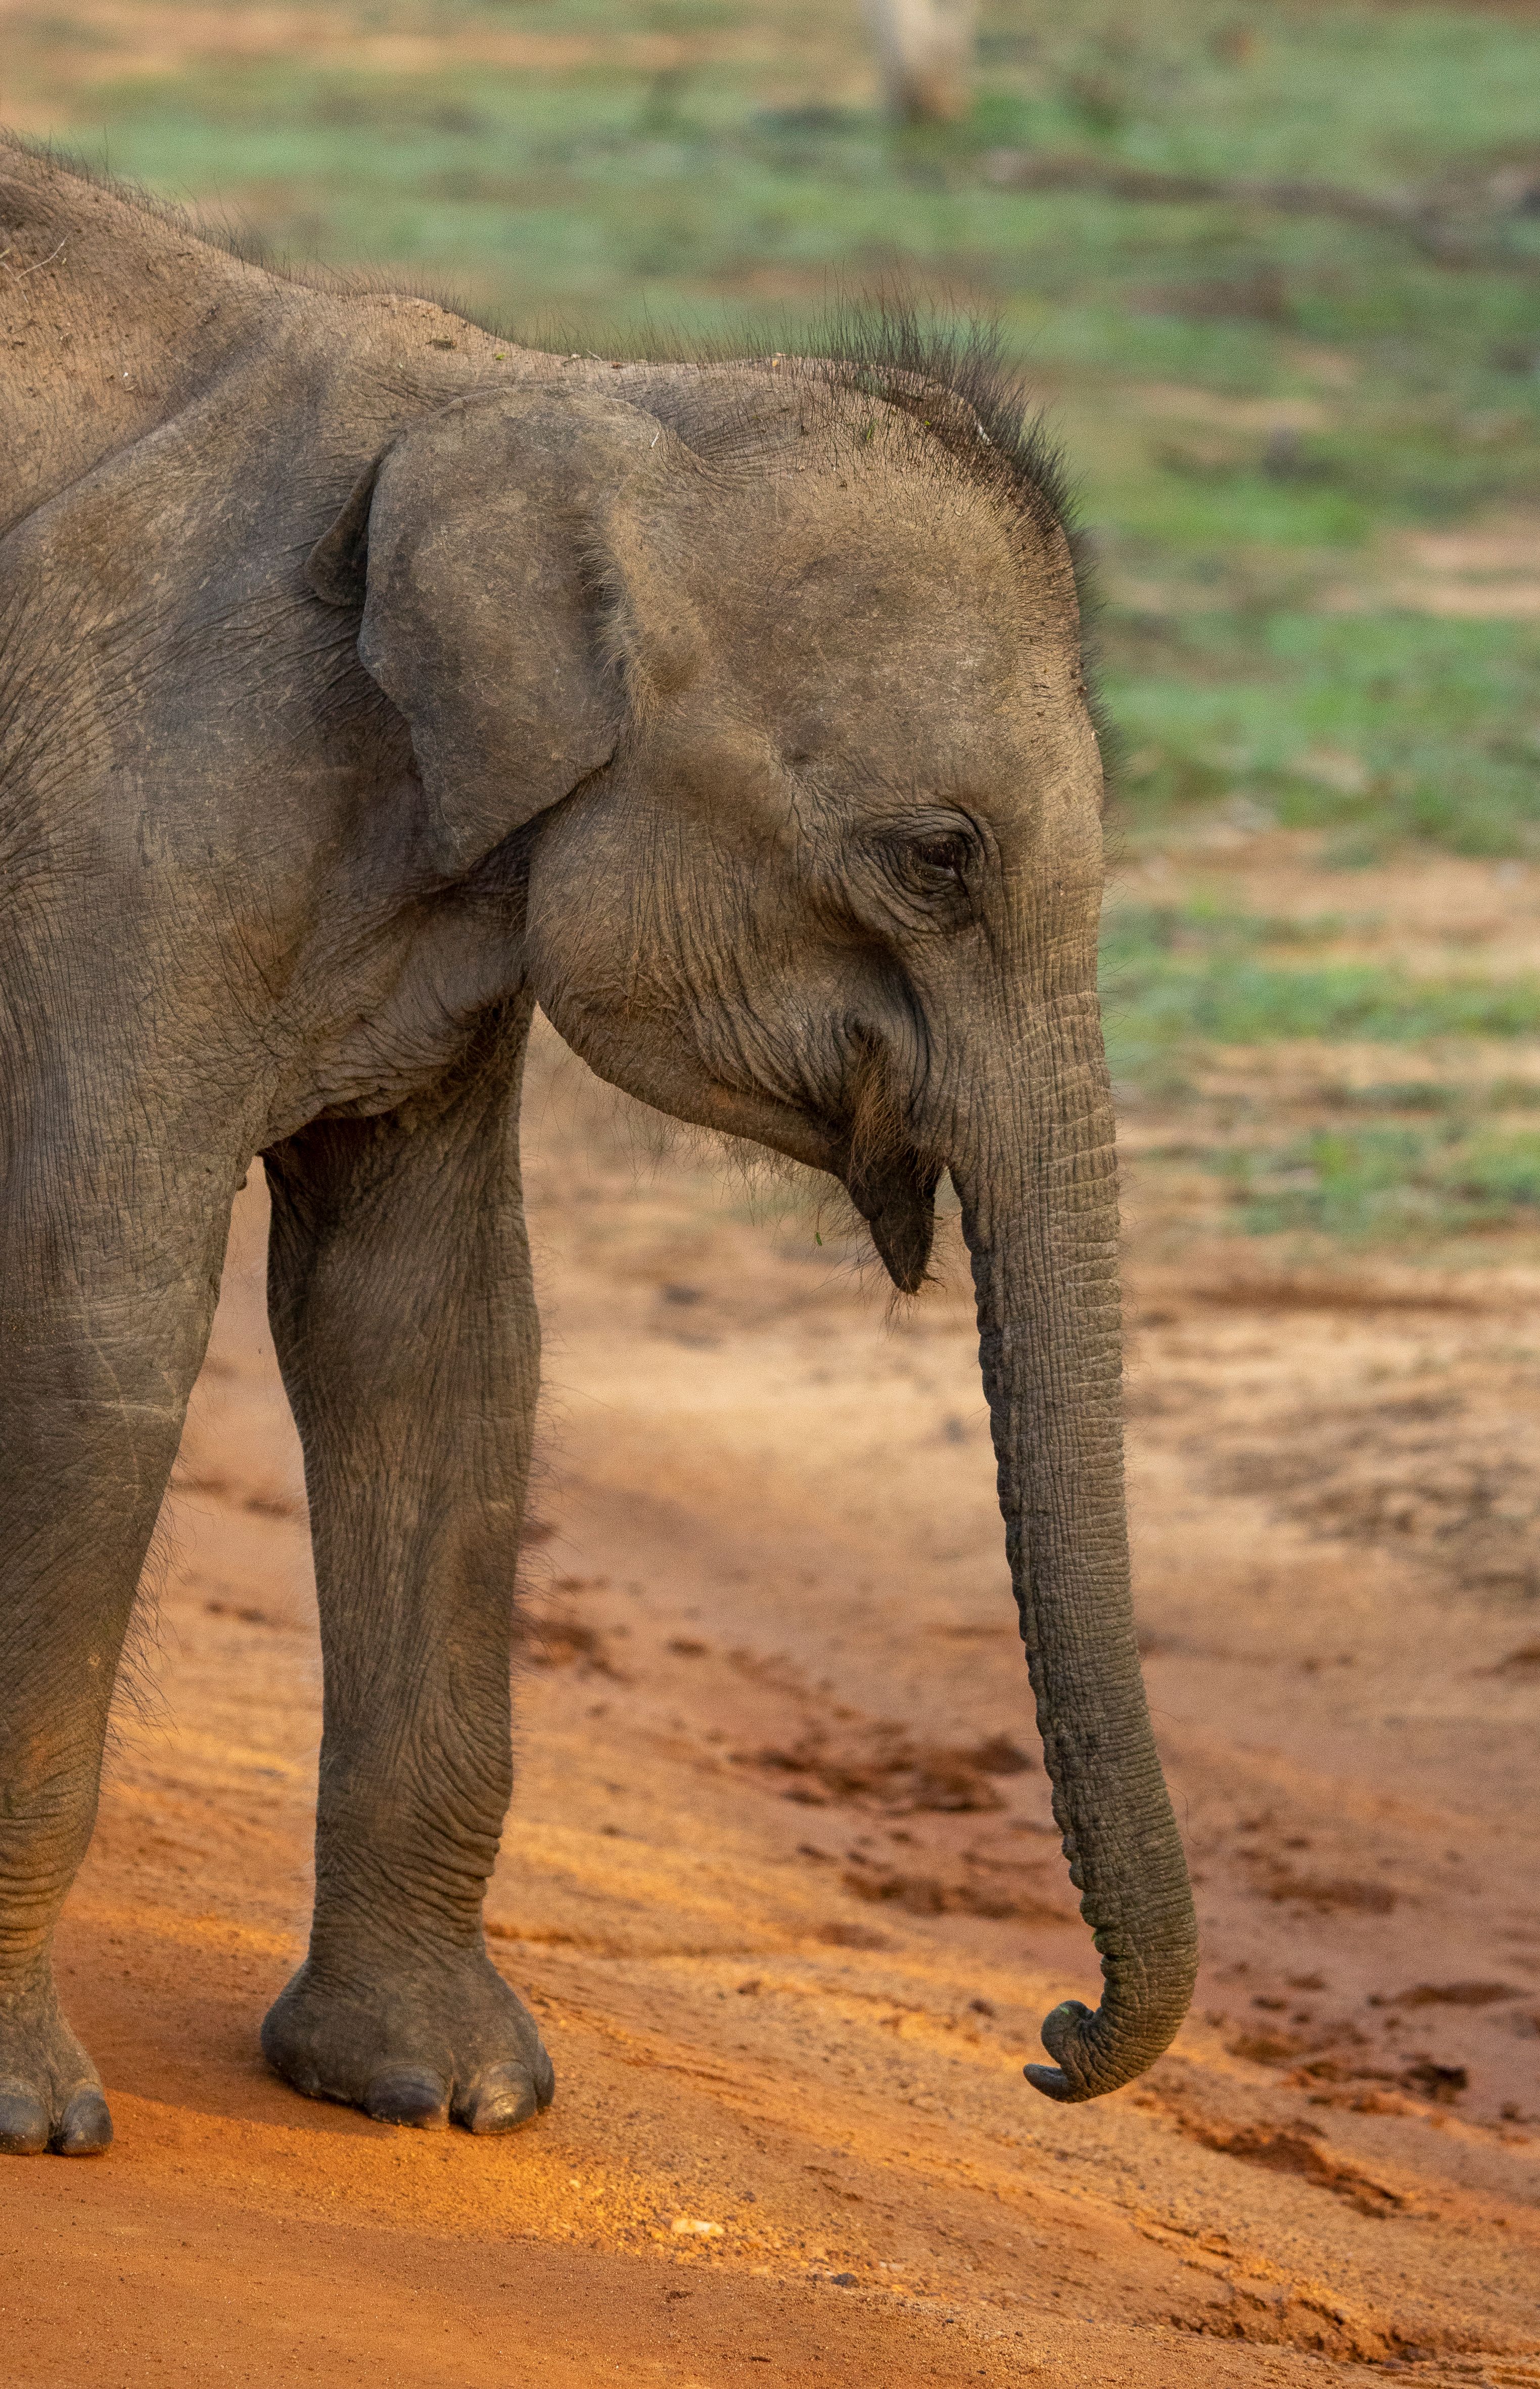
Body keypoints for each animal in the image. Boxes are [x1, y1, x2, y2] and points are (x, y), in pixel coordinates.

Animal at [0, 137, 1196, 2159]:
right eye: (936, 856)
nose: (1047, 2035)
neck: (554, 396)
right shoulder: (129, 819)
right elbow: (94, 1335)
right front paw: (30, 2114)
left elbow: (431, 1335)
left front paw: (439, 2096)